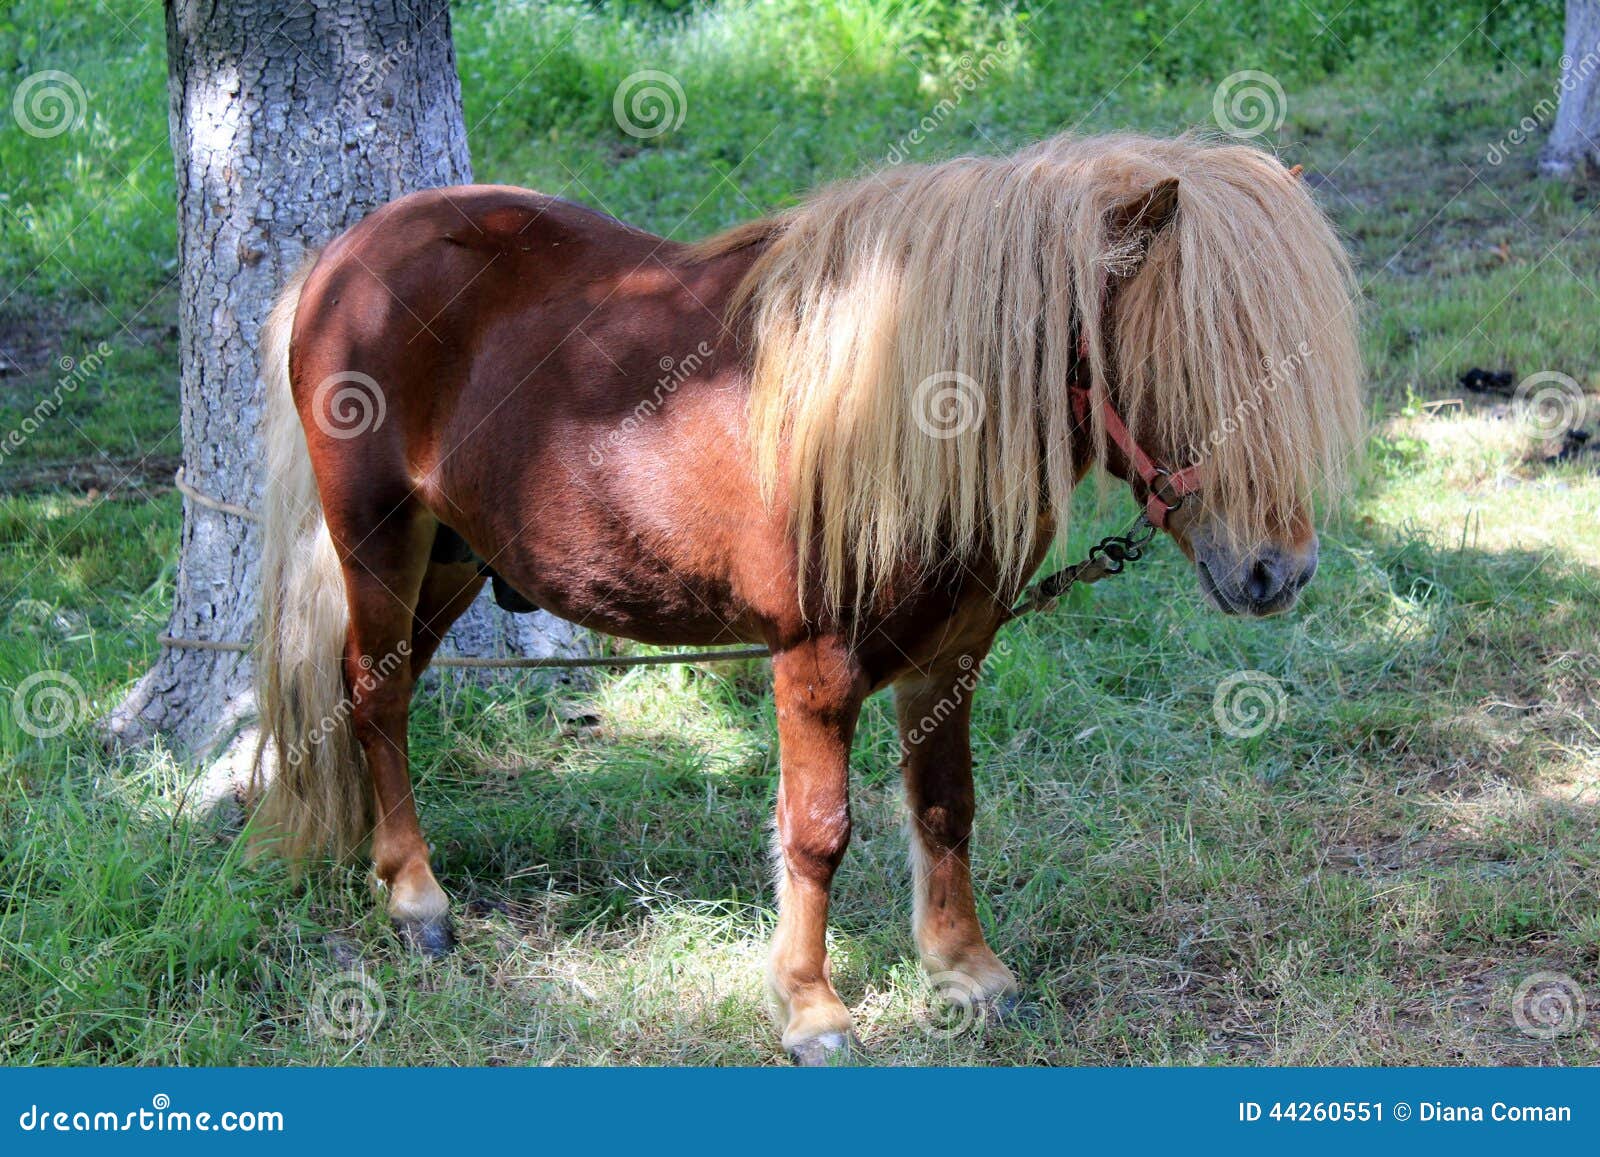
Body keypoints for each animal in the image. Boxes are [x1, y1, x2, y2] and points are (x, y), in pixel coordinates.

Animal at [252, 132, 1362, 1064]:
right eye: (1183, 361)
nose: (1279, 570)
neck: (891, 412)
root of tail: (341, 259)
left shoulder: (952, 652)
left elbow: (945, 808)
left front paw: (964, 969)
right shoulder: (813, 666)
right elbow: (817, 831)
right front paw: (811, 1005)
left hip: (453, 559)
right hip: (381, 543)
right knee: (375, 696)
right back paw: (414, 893)